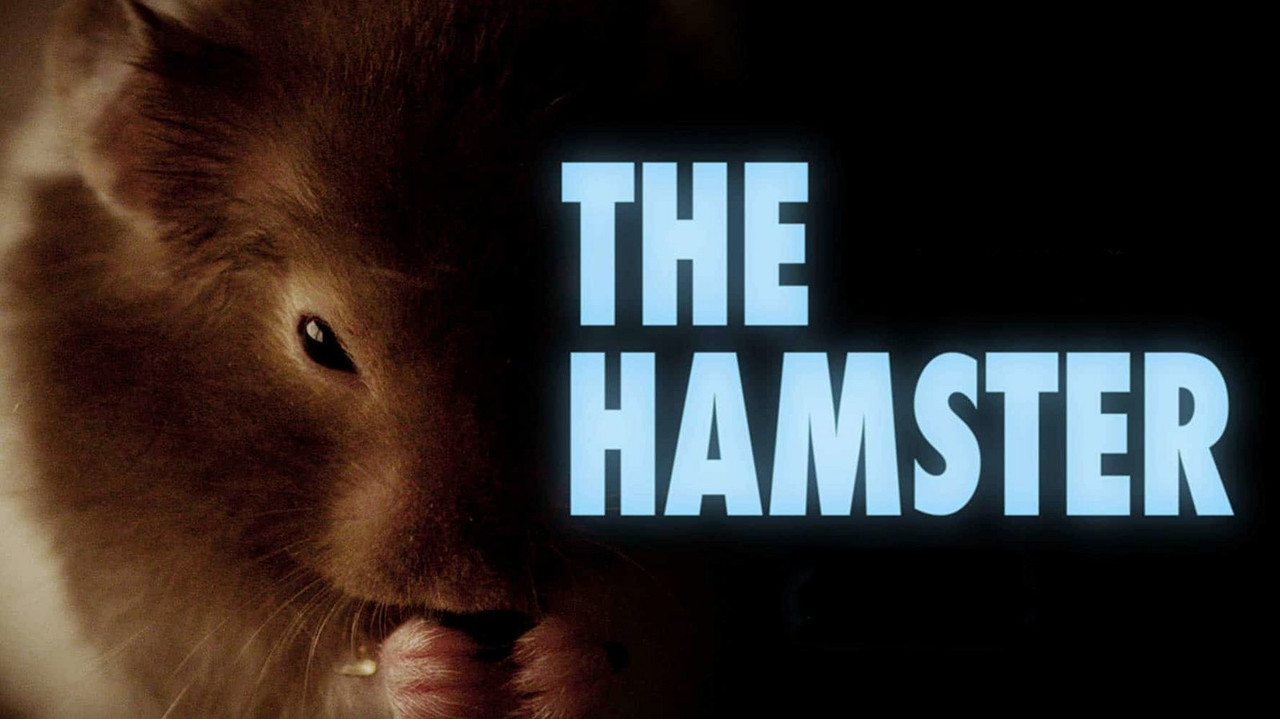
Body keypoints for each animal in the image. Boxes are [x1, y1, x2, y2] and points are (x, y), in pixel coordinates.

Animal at [0, 1, 708, 717]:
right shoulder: (155, 598)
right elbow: (297, 676)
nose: (475, 593)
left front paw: (543, 667)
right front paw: (436, 673)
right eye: (318, 341)